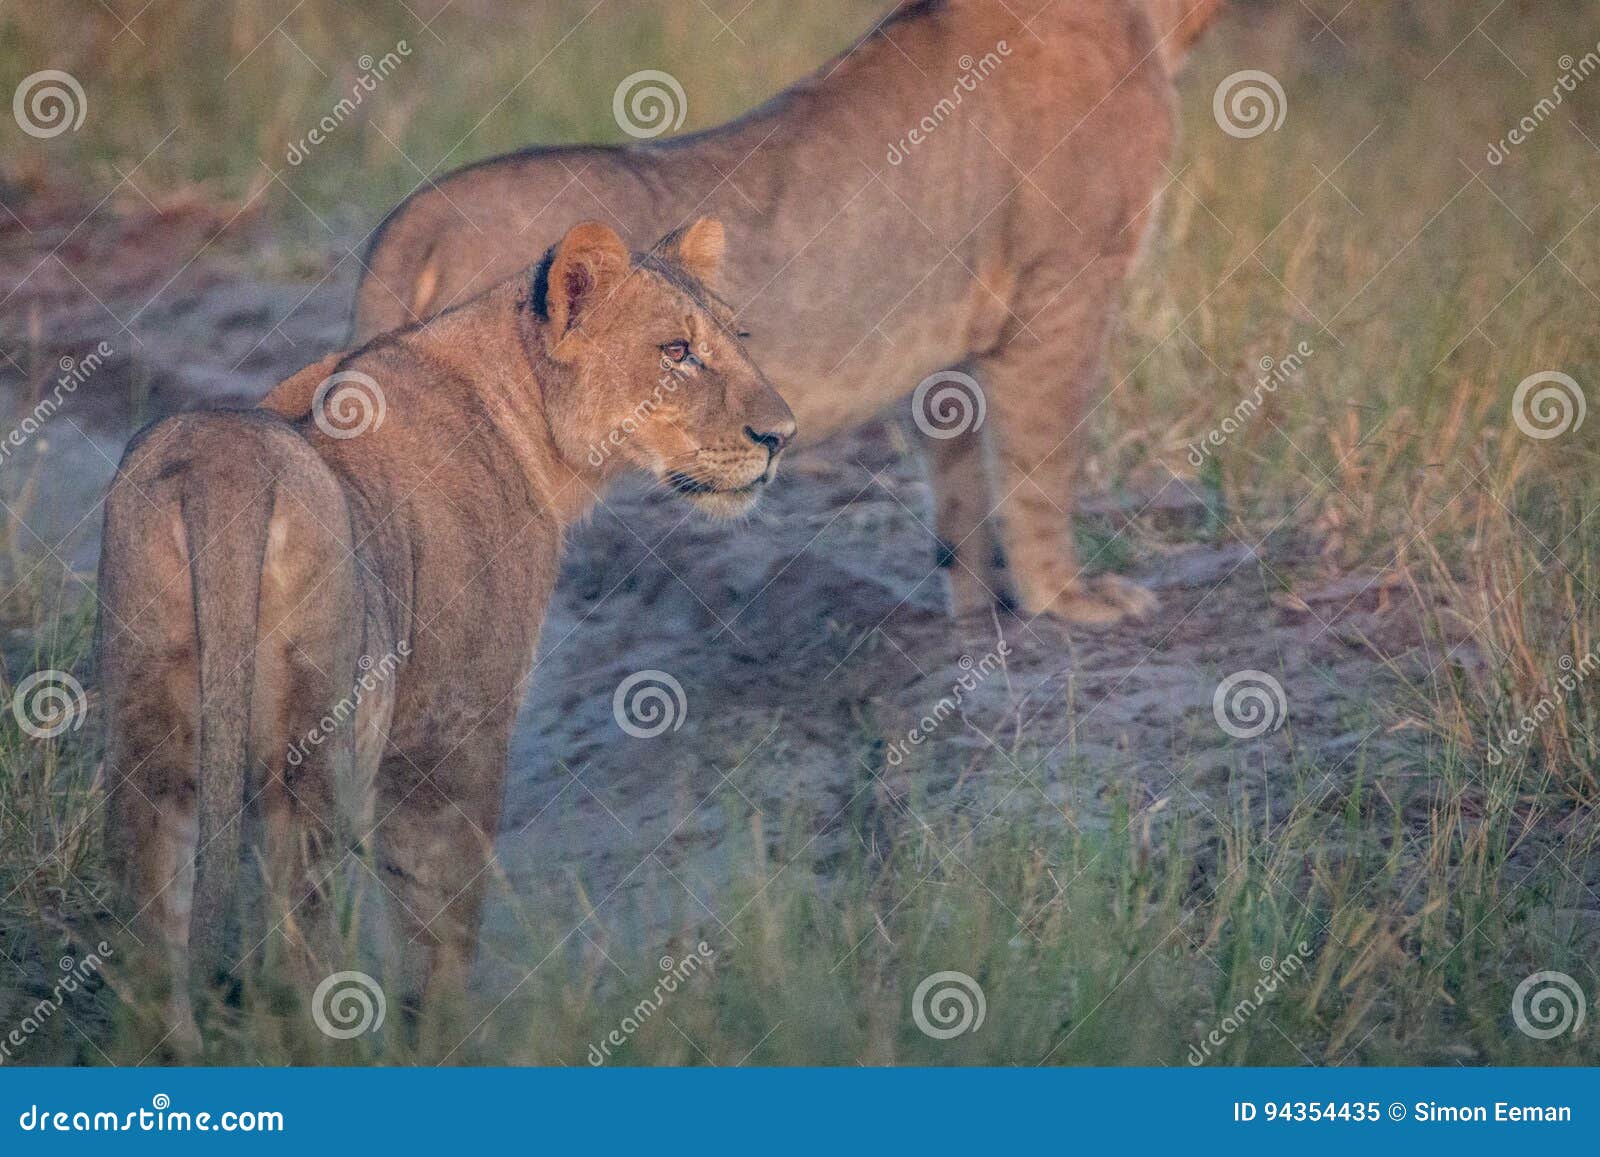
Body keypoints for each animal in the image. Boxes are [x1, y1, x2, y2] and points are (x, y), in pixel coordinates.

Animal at [97, 217, 793, 1045]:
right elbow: (443, 913)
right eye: (677, 350)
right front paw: (444, 1035)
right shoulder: (449, 730)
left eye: (739, 337)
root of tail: (225, 466)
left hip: (154, 740)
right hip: (314, 756)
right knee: (297, 943)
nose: (782, 434)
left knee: (154, 938)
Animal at [352, 0, 1224, 625]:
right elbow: (1044, 463)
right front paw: (1071, 601)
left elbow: (959, 480)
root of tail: (414, 220)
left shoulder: (947, 336)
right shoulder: (1062, 292)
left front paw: (978, 608)